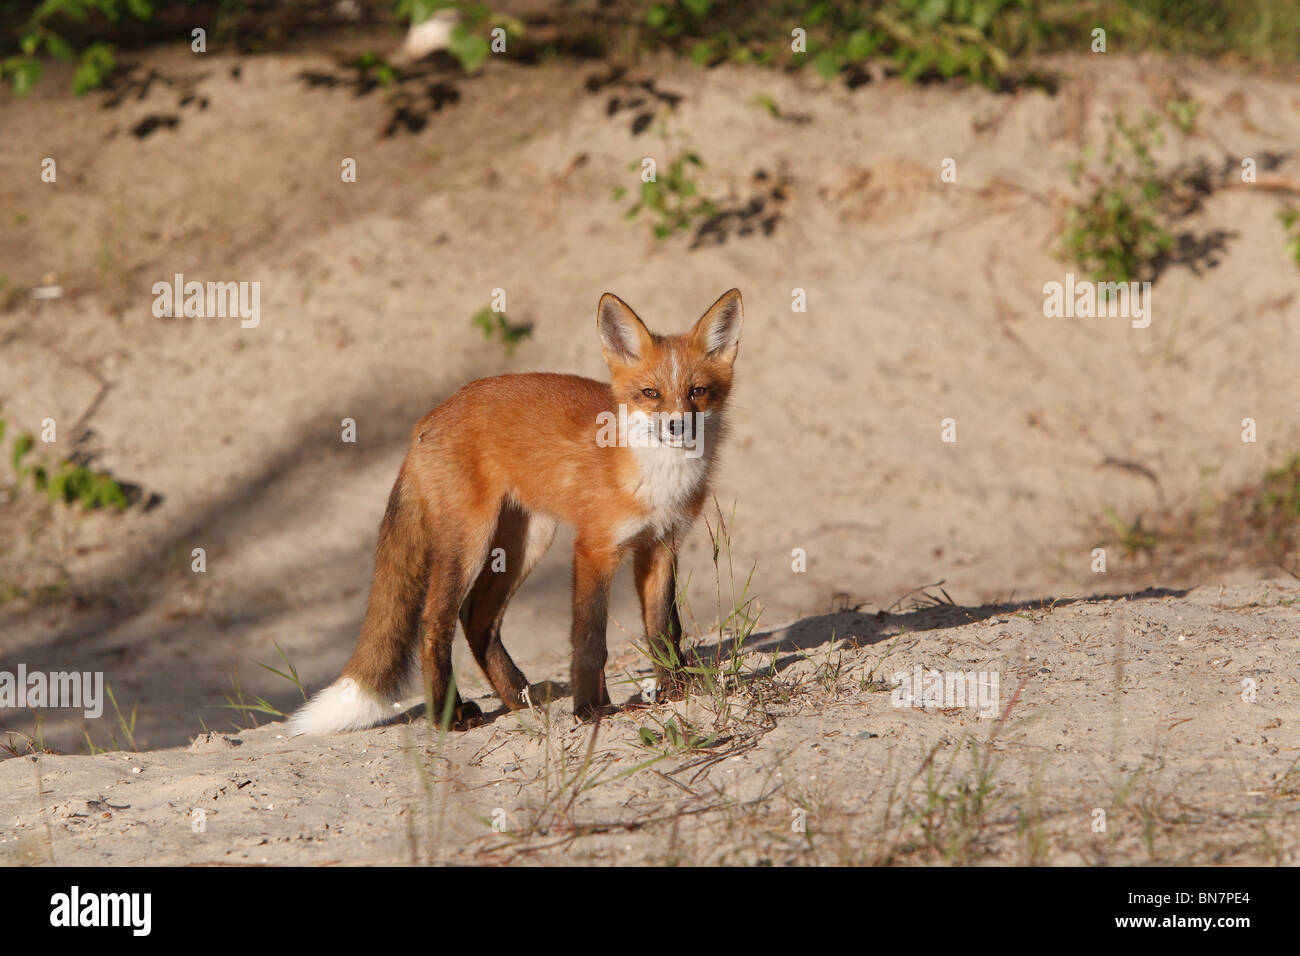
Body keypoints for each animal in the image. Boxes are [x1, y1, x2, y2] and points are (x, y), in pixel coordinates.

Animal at [289, 288, 743, 734]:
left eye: (697, 391)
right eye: (651, 394)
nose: (678, 426)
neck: (656, 476)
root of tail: (427, 420)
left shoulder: (661, 545)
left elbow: (664, 628)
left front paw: (676, 688)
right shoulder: (593, 549)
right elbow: (589, 638)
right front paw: (590, 709)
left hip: (527, 541)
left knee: (476, 618)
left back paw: (517, 697)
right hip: (471, 541)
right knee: (435, 621)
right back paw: (448, 716)